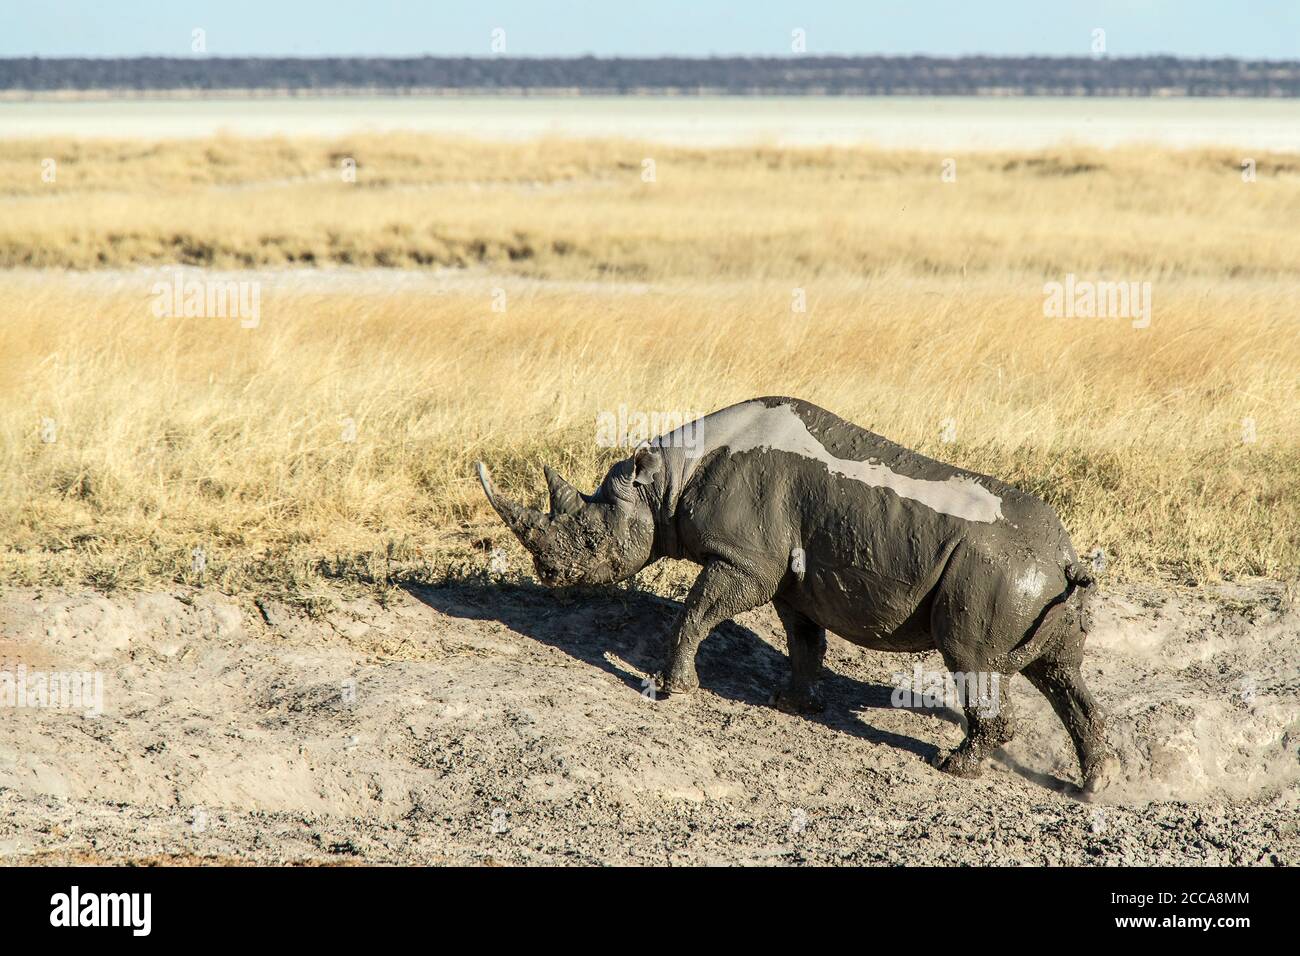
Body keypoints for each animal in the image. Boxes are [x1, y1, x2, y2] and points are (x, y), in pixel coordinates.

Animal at [476, 397, 1115, 791]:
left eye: (590, 539)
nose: (549, 576)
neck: (666, 480)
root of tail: (1065, 558)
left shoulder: (744, 560)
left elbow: (697, 611)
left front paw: (673, 688)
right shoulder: (790, 579)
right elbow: (804, 639)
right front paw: (793, 704)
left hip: (995, 573)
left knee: (970, 658)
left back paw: (953, 767)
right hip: (1034, 581)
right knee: (1060, 673)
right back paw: (1095, 785)